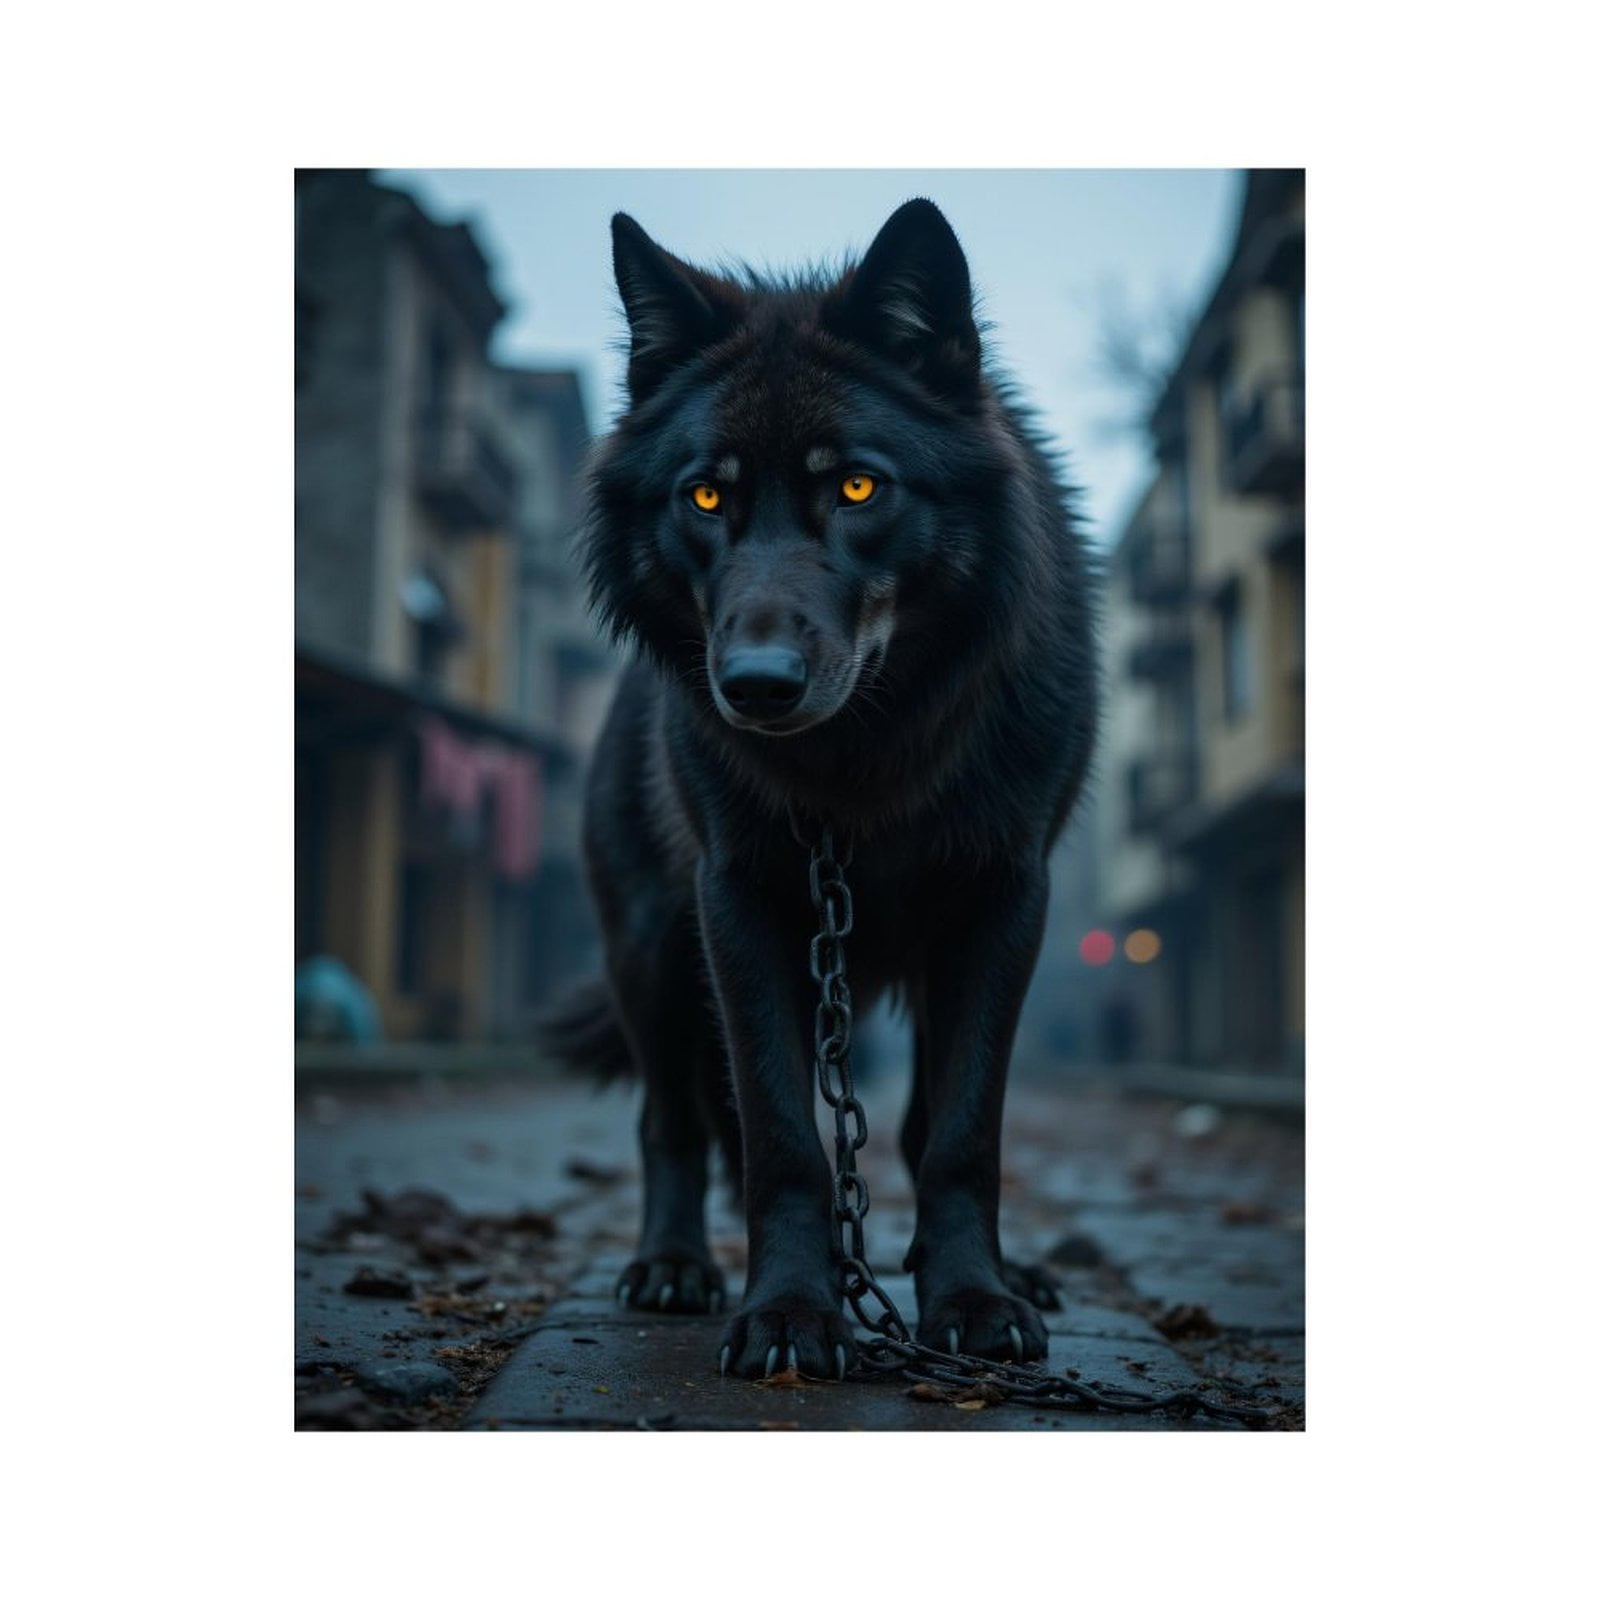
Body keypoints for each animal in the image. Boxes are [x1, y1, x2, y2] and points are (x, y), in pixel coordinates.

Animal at [545, 199, 1098, 1380]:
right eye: (706, 494)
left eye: (855, 484)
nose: (755, 686)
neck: (866, 761)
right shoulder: (742, 904)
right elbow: (781, 1139)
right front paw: (792, 1317)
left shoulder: (1001, 900)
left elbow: (962, 1133)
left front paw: (973, 1301)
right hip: (651, 950)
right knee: (671, 1123)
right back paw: (673, 1268)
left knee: (915, 1123)